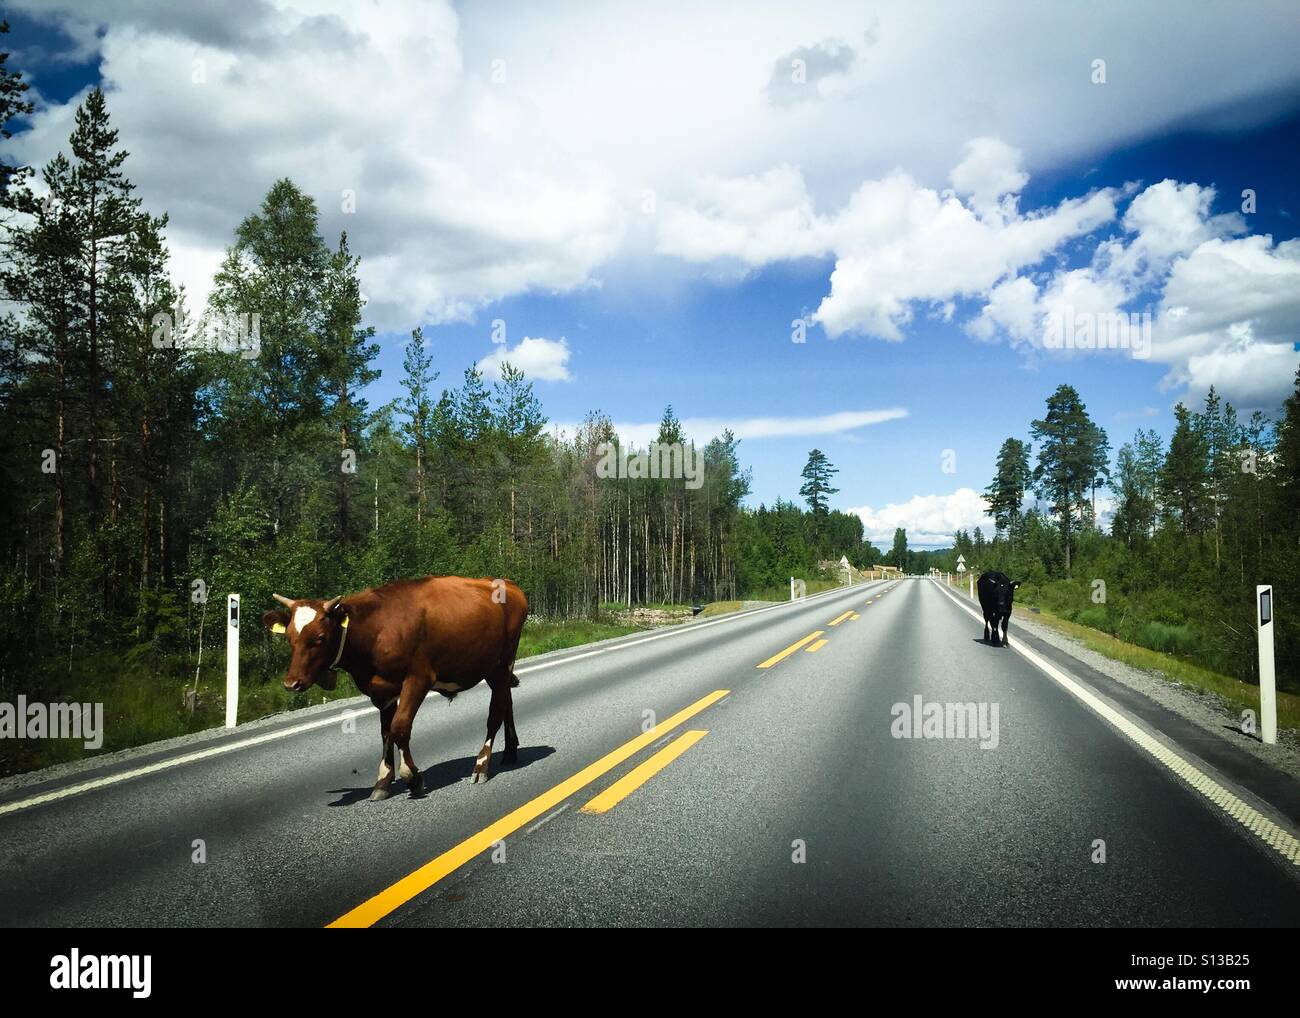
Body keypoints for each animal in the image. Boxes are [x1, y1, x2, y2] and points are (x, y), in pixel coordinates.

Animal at [262, 576, 528, 800]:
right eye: (289, 637)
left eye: (319, 637)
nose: (292, 683)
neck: (377, 630)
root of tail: (508, 584)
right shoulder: (382, 690)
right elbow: (386, 732)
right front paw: (383, 781)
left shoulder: (418, 679)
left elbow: (399, 728)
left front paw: (412, 777)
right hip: (495, 670)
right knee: (506, 701)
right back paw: (510, 751)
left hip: (502, 662)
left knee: (495, 712)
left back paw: (481, 765)